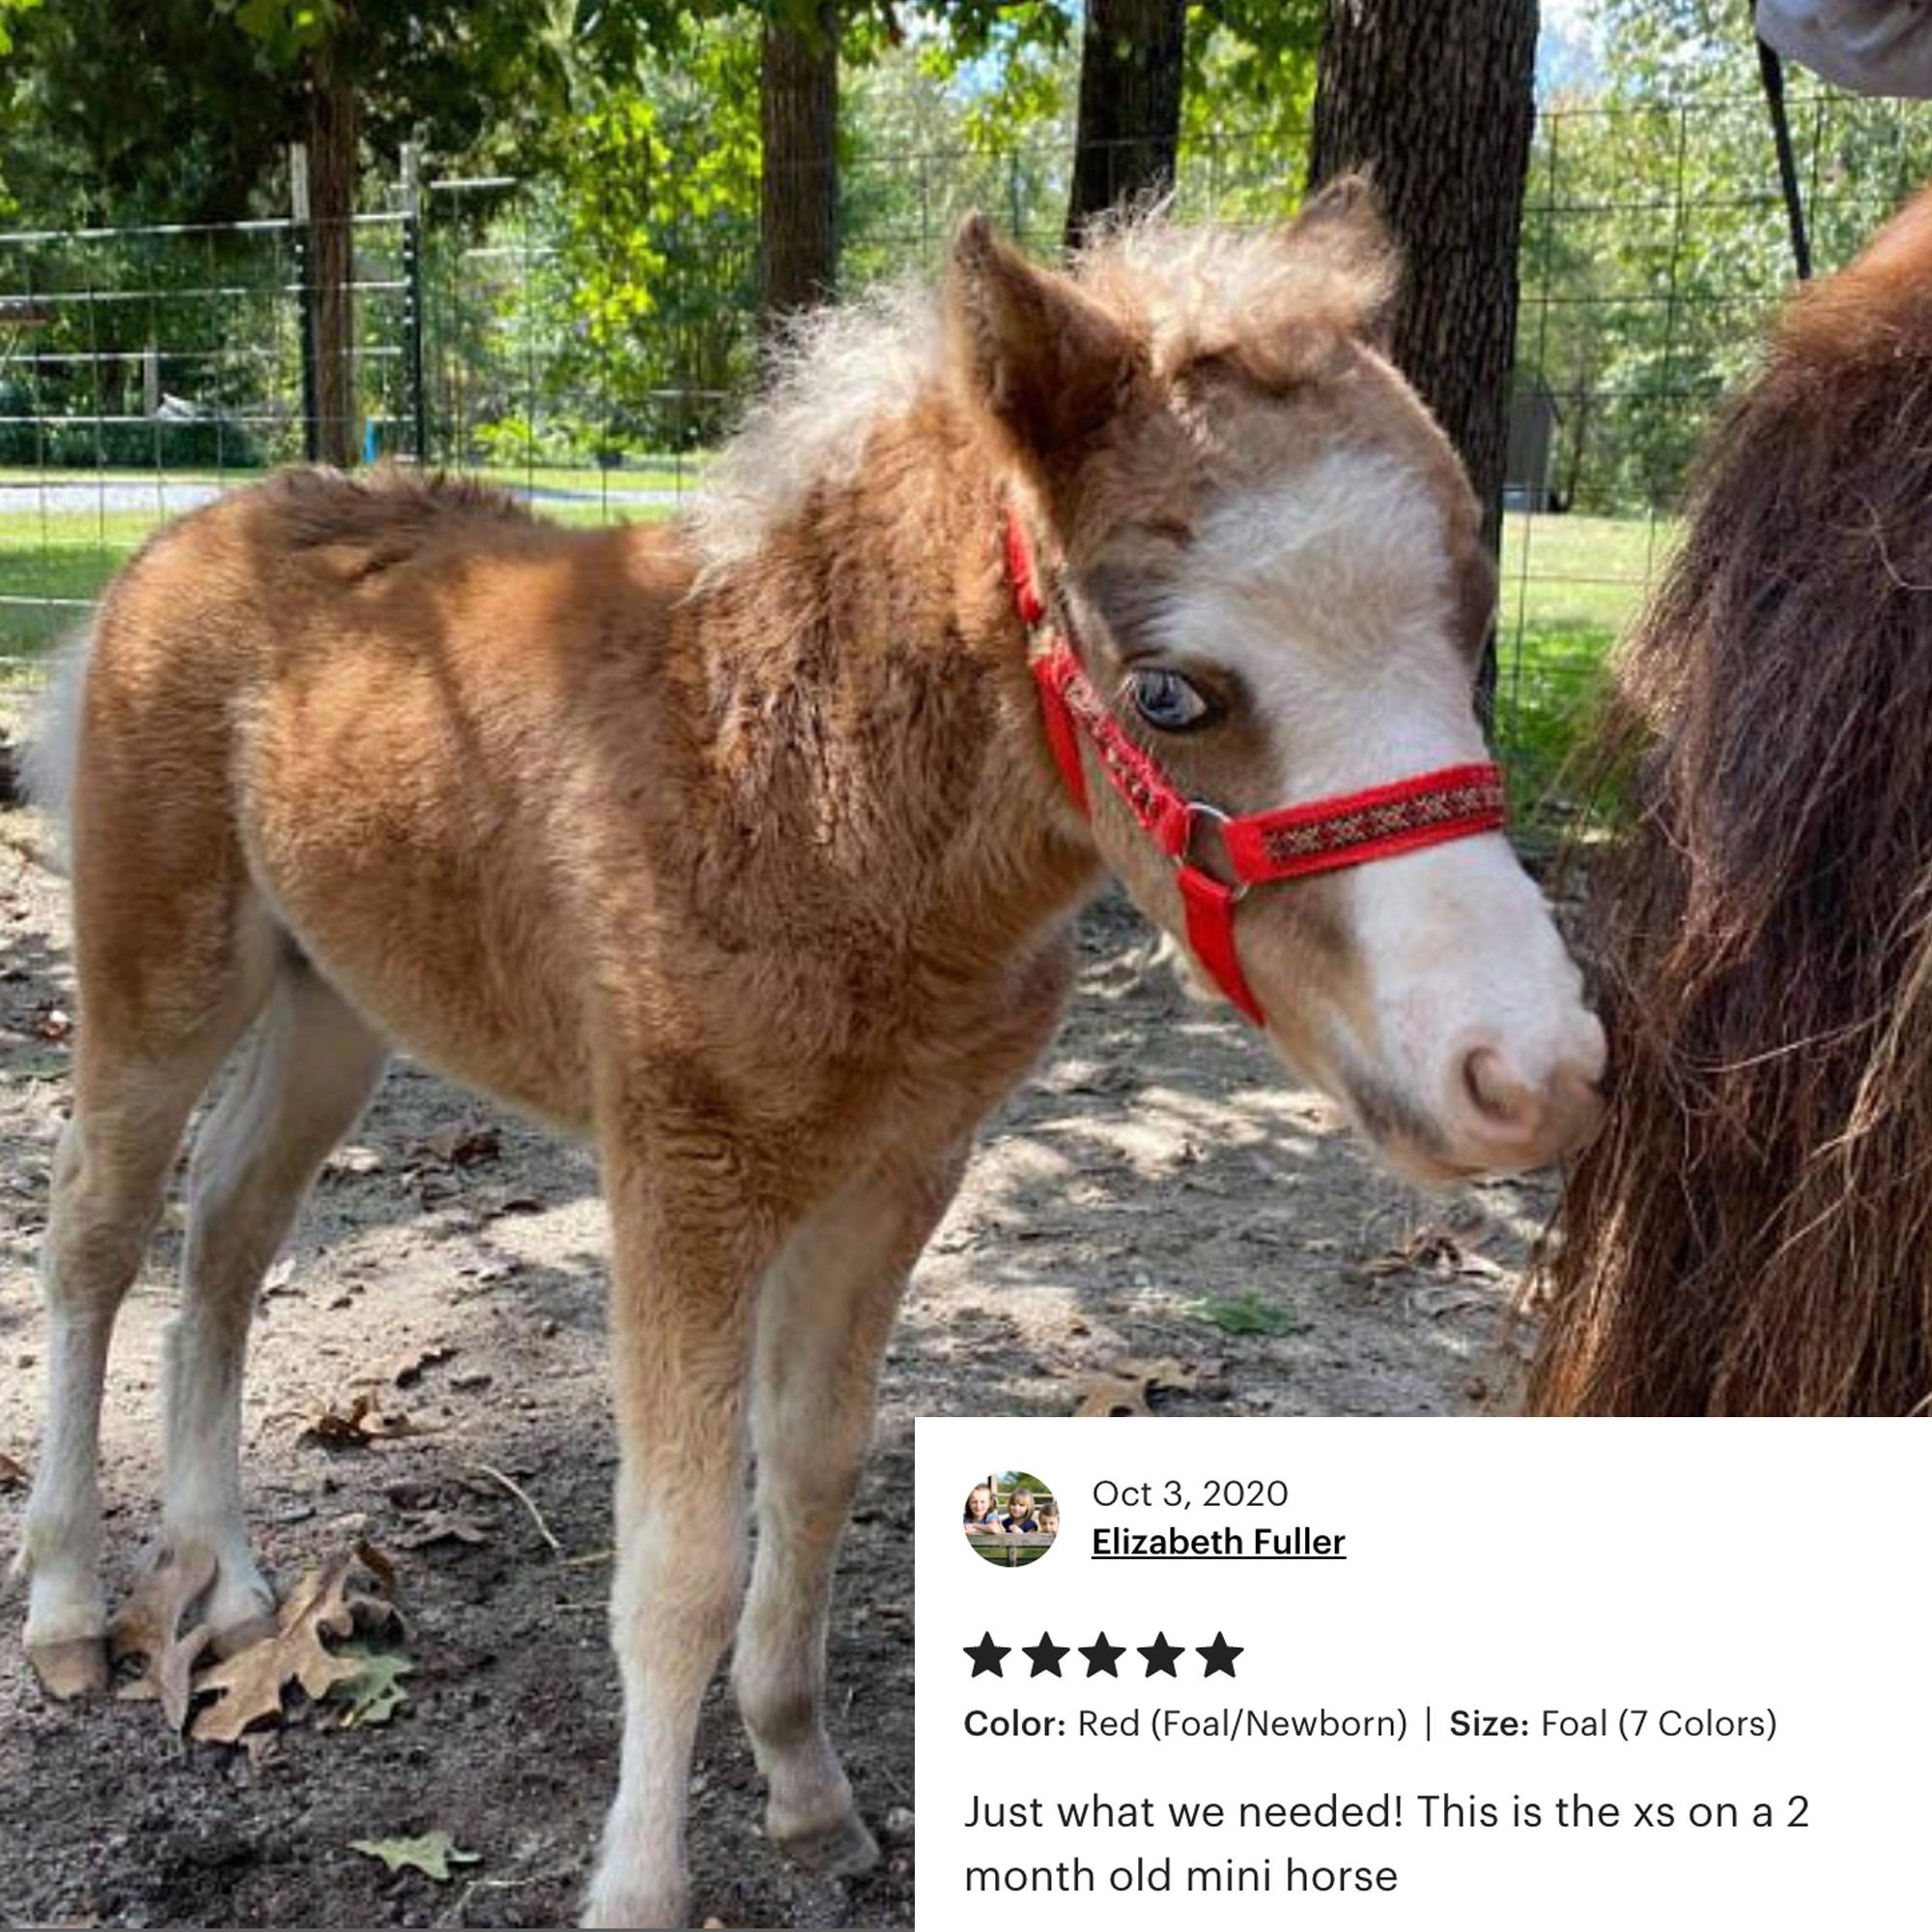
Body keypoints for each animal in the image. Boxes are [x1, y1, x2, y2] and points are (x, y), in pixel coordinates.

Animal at [12, 181, 1603, 1926]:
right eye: (1171, 694)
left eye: (1473, 627)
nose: (1530, 1073)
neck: (804, 791)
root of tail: (176, 541)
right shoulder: (681, 1180)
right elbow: (681, 1560)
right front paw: (642, 1890)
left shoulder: (900, 1172)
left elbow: (819, 1475)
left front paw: (806, 1789)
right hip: (164, 965)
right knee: (96, 1230)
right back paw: (71, 1608)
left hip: (334, 1004)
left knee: (229, 1234)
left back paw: (227, 1579)